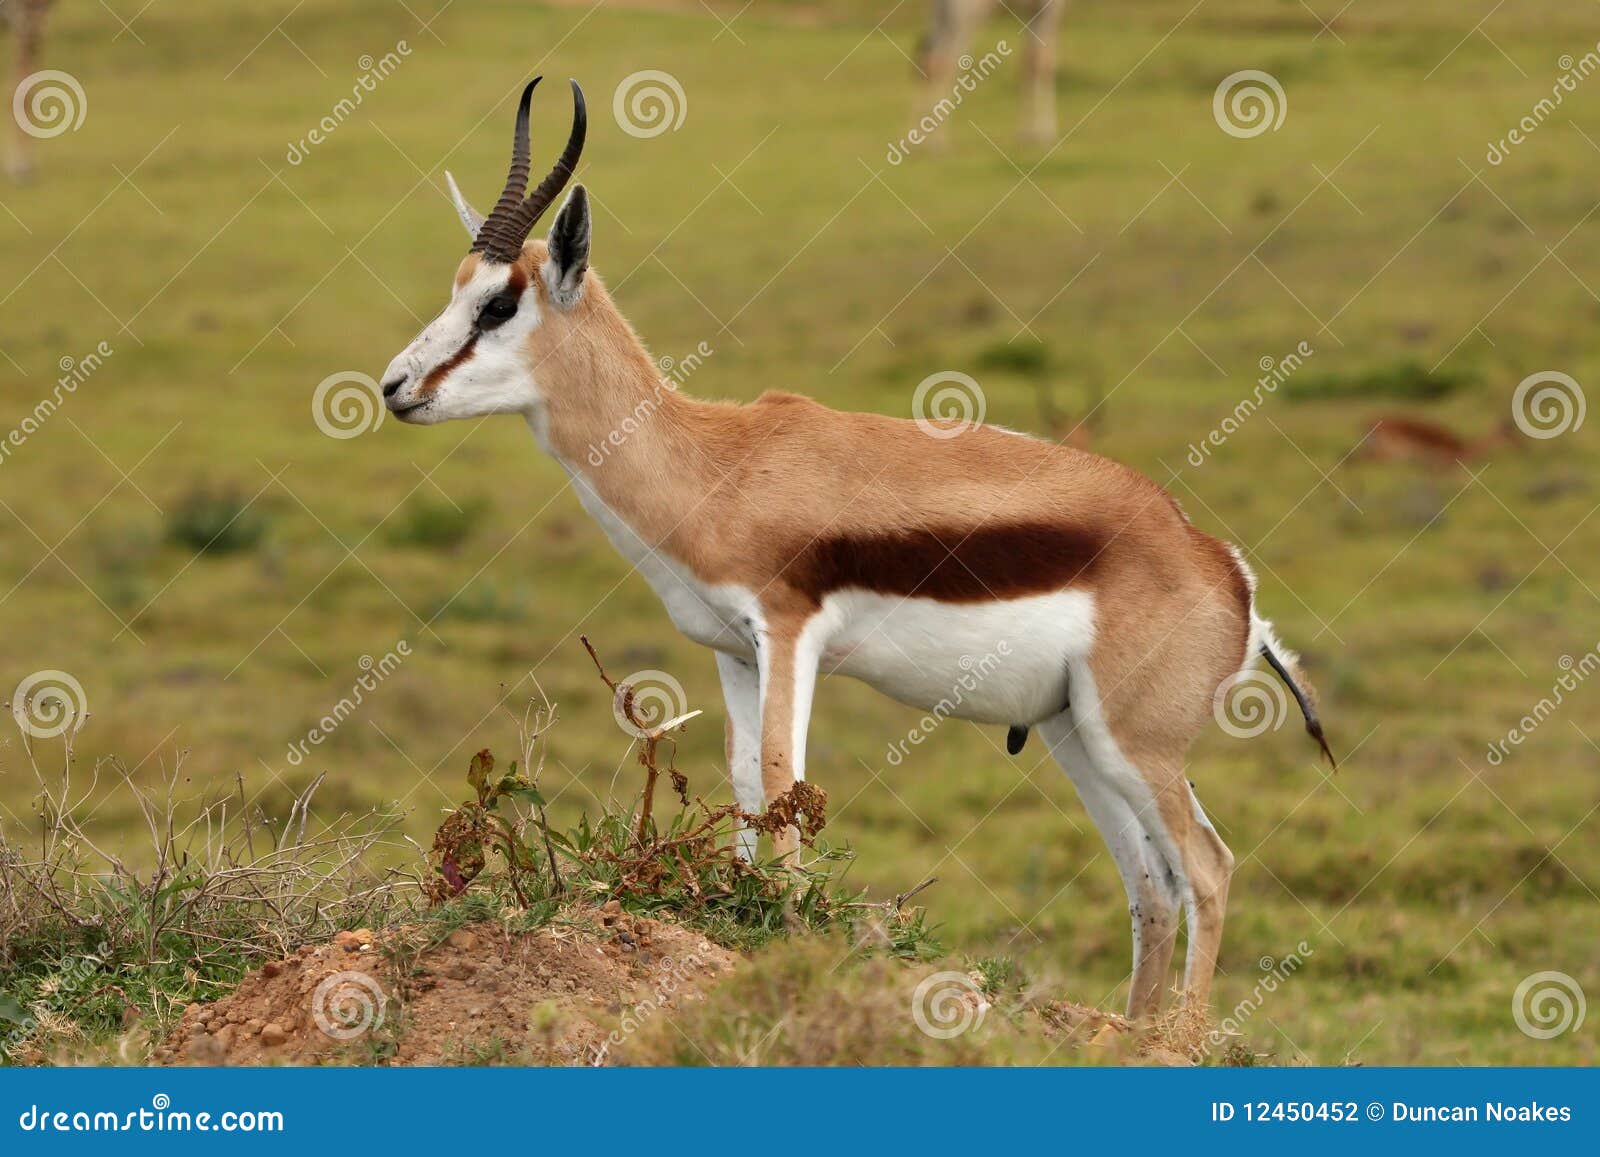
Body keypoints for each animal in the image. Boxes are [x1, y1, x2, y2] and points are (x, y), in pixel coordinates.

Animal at [379, 79, 1334, 1019]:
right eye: (457, 287)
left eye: (499, 302)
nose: (393, 387)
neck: (720, 464)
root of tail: (1225, 571)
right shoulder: (735, 651)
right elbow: (746, 786)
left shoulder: (788, 631)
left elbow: (782, 782)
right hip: (1078, 735)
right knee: (1152, 885)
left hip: (1136, 745)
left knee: (1207, 868)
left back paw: (1186, 1033)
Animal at [916, 0, 1064, 145]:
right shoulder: (1049, 10)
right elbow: (1042, 66)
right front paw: (1045, 132)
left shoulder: (1033, 12)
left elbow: (1028, 64)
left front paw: (1026, 134)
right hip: (964, 16)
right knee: (942, 63)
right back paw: (936, 139)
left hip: (945, 16)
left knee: (930, 61)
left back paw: (925, 135)